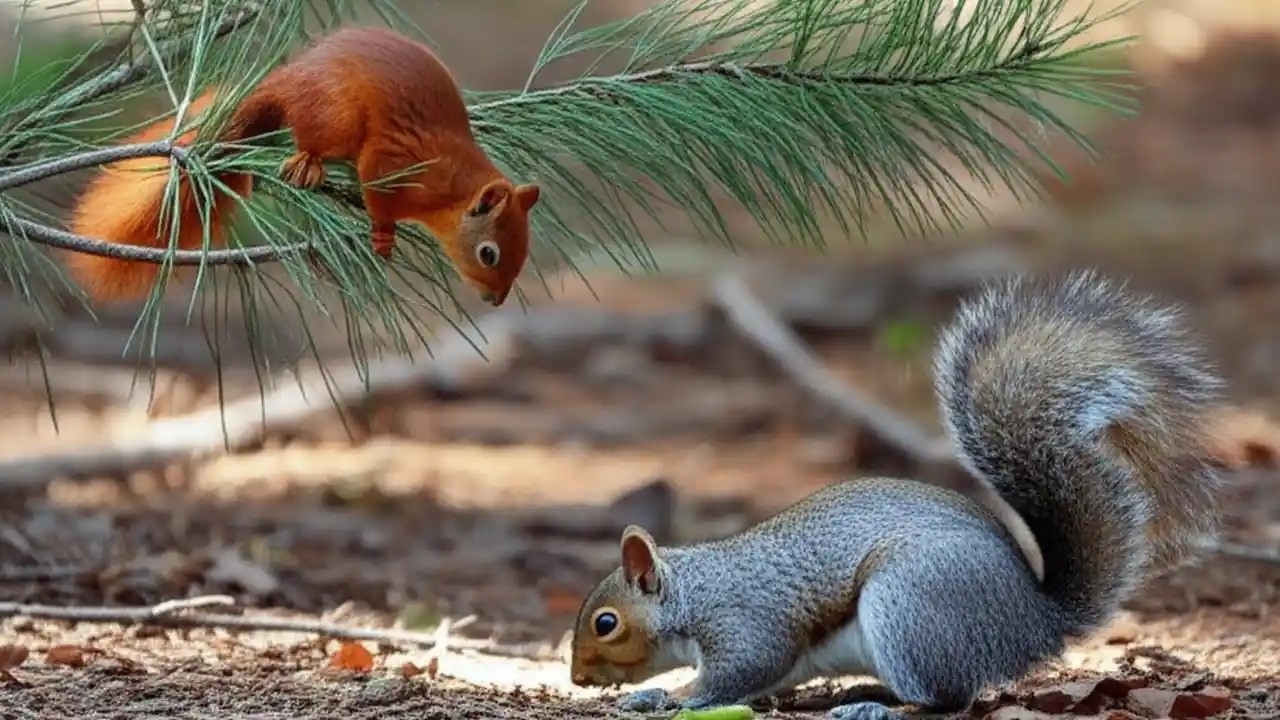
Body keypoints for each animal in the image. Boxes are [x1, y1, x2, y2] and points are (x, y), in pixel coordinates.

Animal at [64, 26, 540, 305]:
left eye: (524, 252)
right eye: (489, 253)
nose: (496, 300)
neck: (453, 182)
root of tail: (289, 79)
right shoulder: (389, 161)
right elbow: (376, 193)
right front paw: (383, 235)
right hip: (336, 114)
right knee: (313, 138)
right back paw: (307, 164)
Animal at [569, 270, 1223, 720]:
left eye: (606, 622)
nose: (575, 678)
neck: (694, 593)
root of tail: (1035, 621)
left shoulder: (745, 624)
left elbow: (737, 673)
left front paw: (676, 696)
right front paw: (652, 695)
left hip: (910, 604)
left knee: (944, 700)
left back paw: (873, 706)